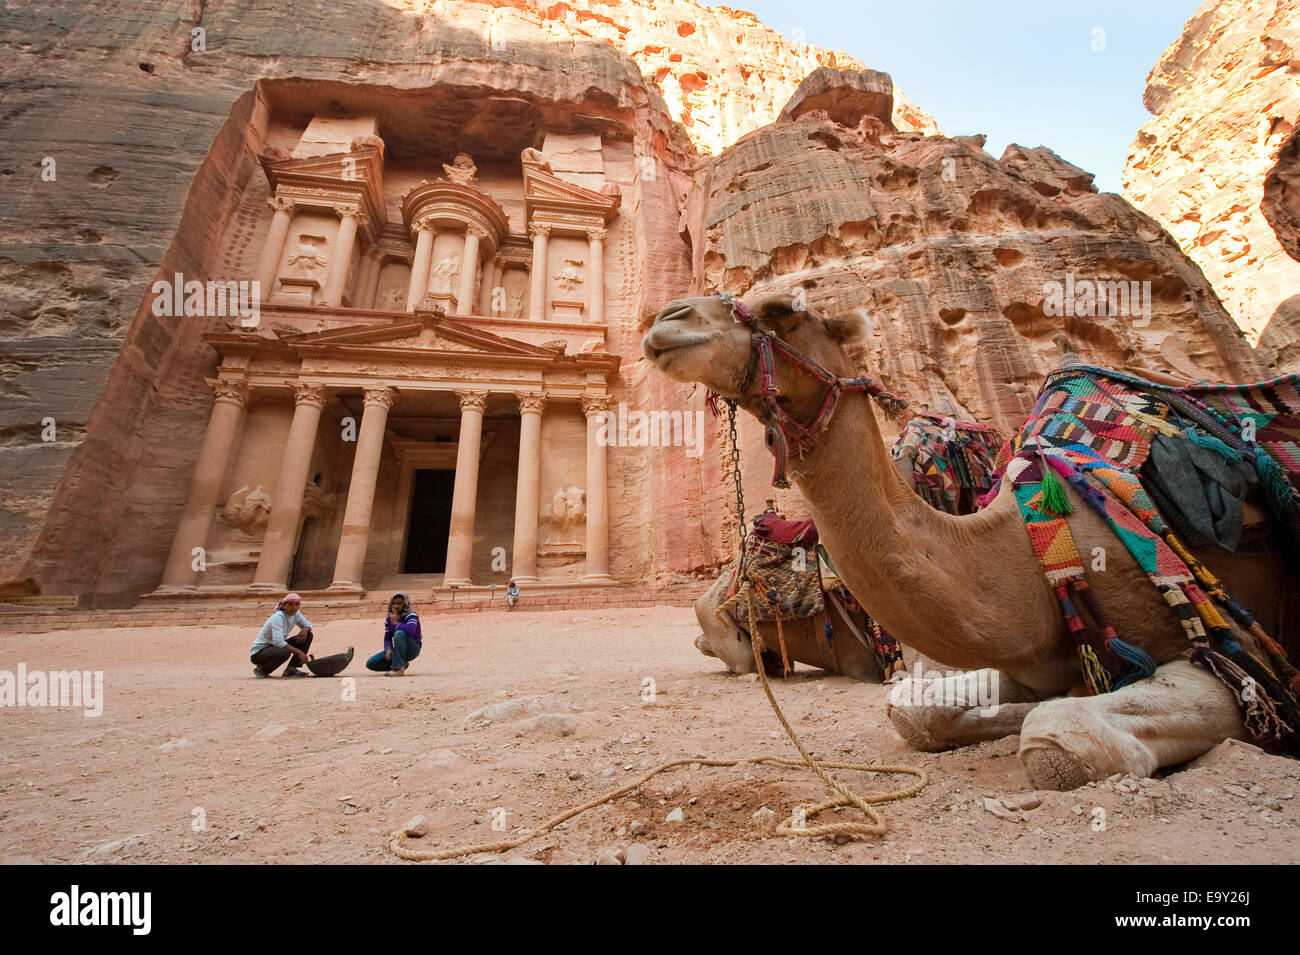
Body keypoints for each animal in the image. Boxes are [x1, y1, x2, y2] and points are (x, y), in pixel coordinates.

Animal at [644, 292, 1295, 789]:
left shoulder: (1232, 656)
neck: (1023, 555)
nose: (668, 318)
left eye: (782, 312)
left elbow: (1059, 738)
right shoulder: (1019, 658)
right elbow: (914, 715)